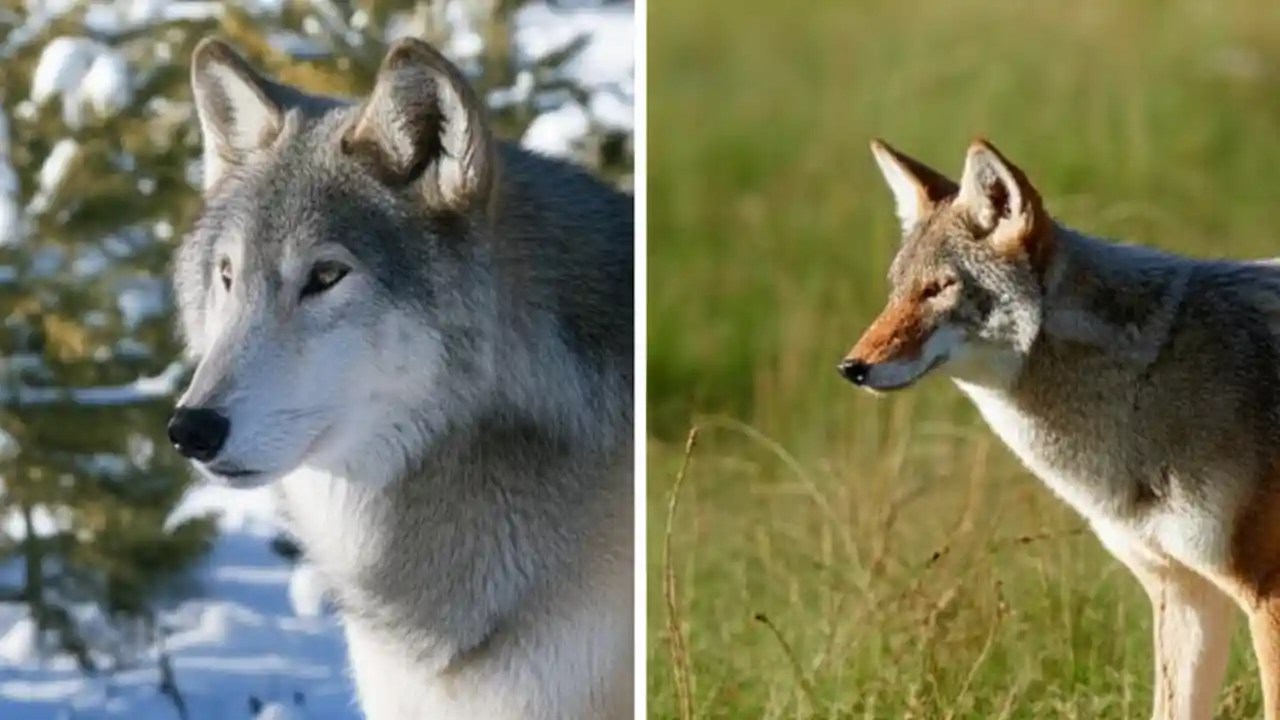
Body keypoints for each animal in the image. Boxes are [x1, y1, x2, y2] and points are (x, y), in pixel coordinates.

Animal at [840, 138, 1280, 719]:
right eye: (897, 291)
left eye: (939, 289)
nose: (852, 367)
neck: (1148, 379)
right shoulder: (1183, 591)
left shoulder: (1267, 592)